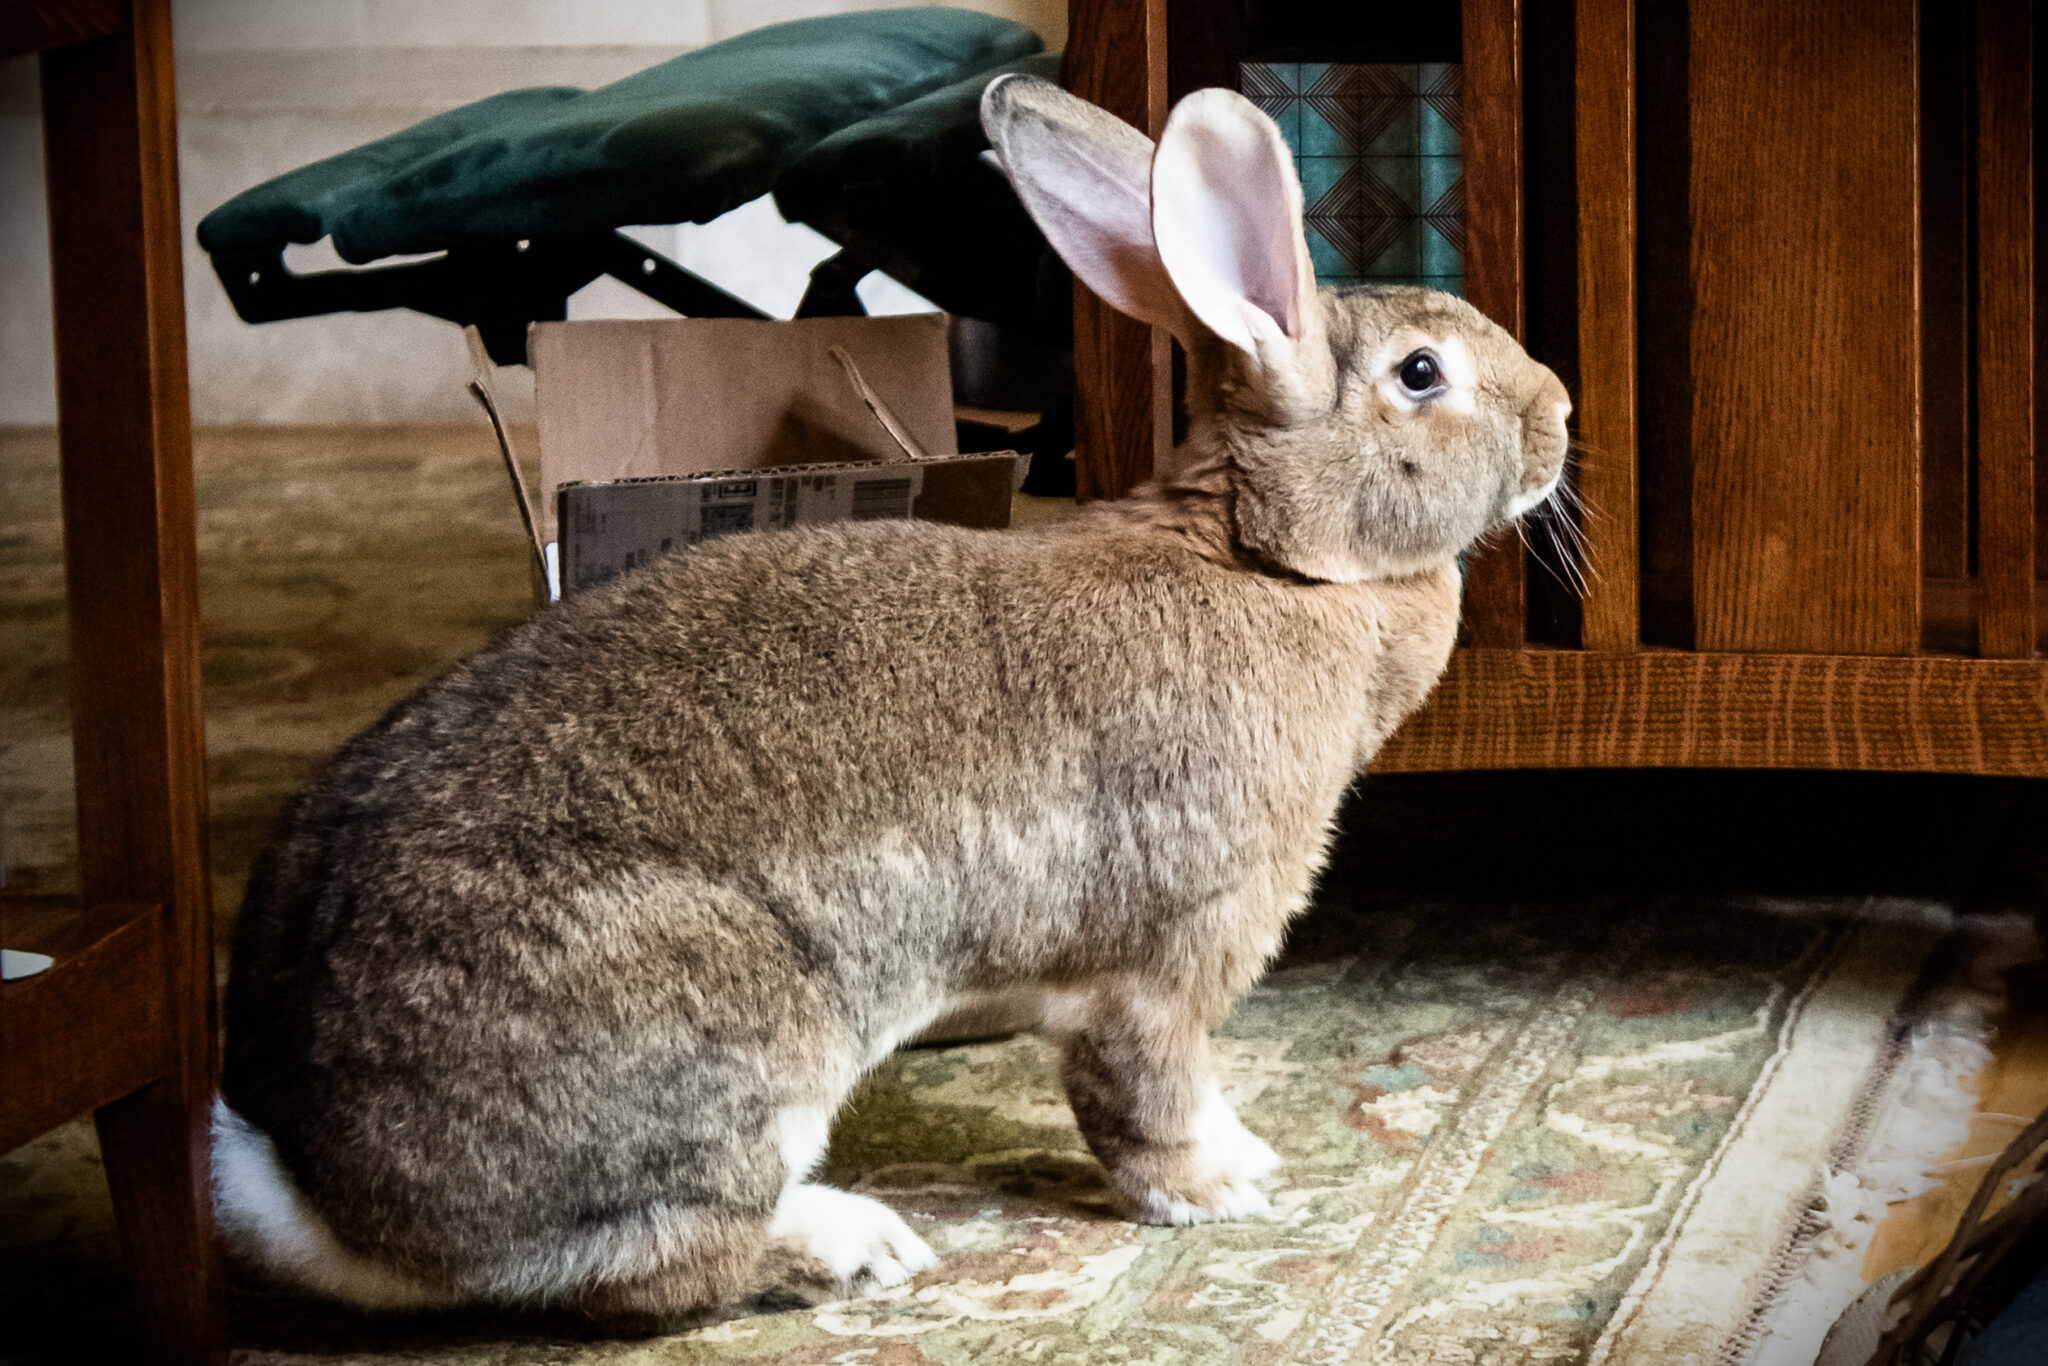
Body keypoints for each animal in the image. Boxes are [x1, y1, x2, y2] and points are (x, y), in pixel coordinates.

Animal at [212, 73, 1571, 1333]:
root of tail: (319, 1188)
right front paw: (1216, 1188)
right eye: (1420, 374)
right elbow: (1139, 1086)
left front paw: (1246, 1156)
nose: (1560, 414)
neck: (1267, 557)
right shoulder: (1173, 948)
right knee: (648, 1271)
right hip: (734, 1030)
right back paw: (848, 1245)